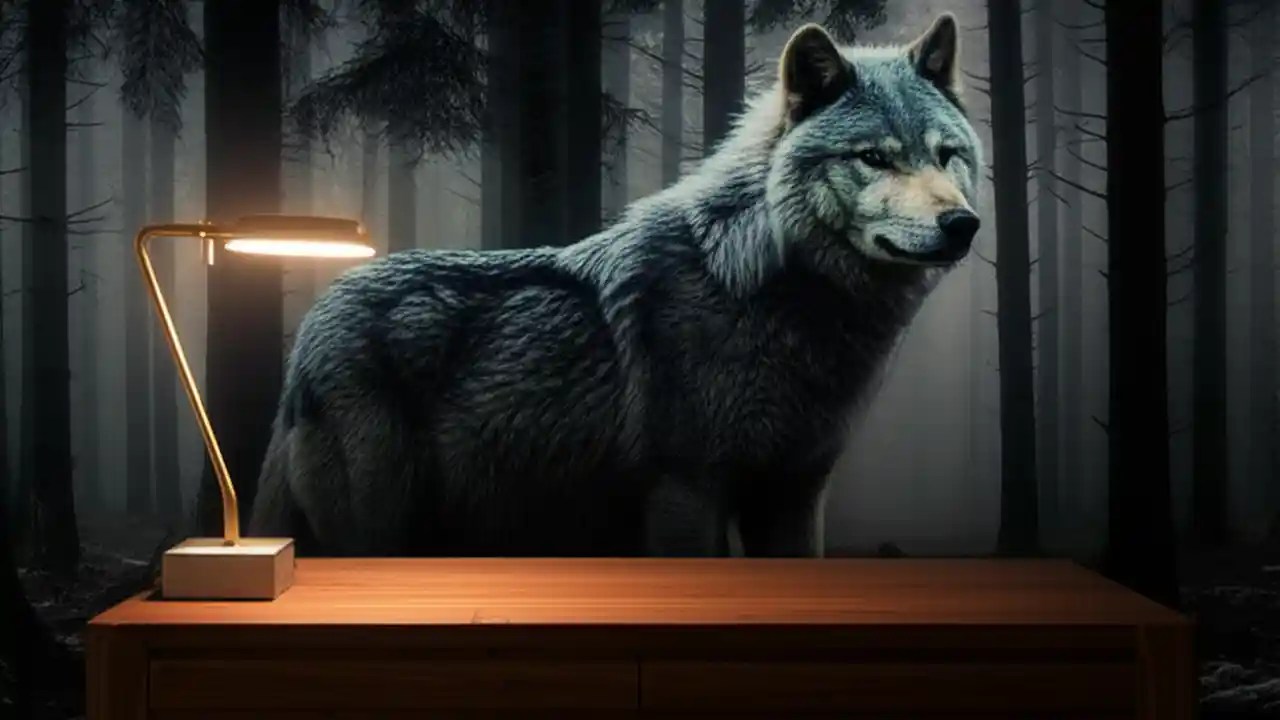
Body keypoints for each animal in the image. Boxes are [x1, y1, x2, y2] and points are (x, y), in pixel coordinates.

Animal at [249, 13, 983, 557]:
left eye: (947, 155)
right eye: (873, 157)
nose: (963, 224)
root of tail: (311, 327)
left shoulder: (794, 495)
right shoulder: (686, 492)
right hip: (379, 530)